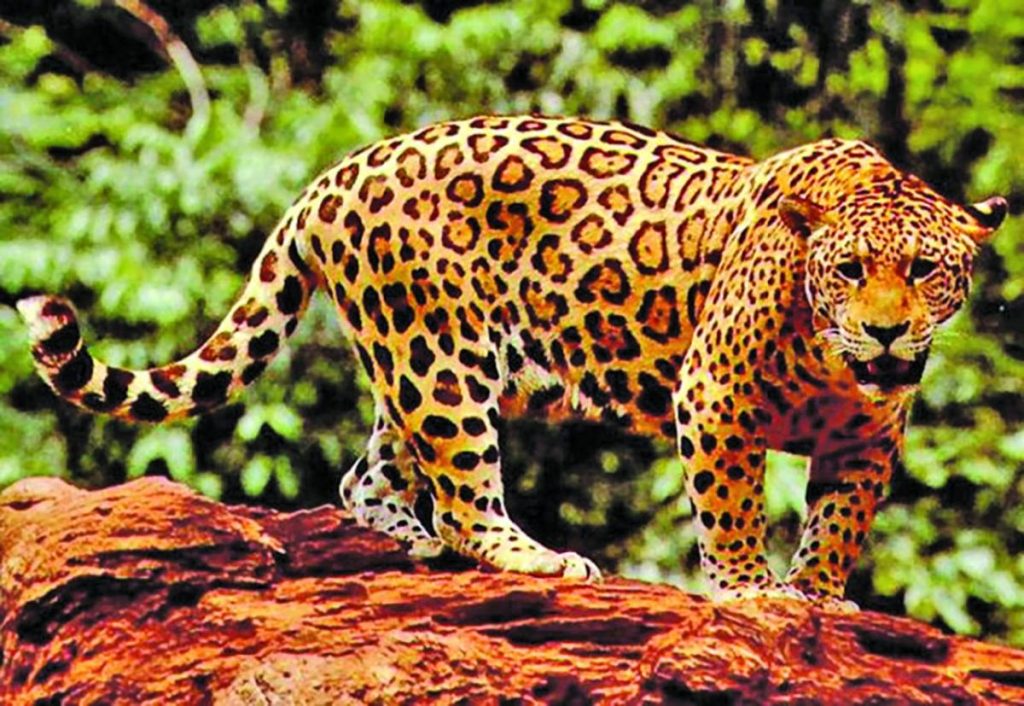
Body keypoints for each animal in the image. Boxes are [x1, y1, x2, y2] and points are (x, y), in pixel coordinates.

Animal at [18, 115, 1008, 604]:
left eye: (923, 271)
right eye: (849, 271)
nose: (886, 333)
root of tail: (333, 176)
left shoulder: (869, 435)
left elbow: (840, 519)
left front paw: (822, 595)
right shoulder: (714, 395)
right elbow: (730, 506)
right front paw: (751, 592)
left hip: (417, 362)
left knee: (369, 476)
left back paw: (413, 545)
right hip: (442, 360)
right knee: (463, 495)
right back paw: (536, 559)